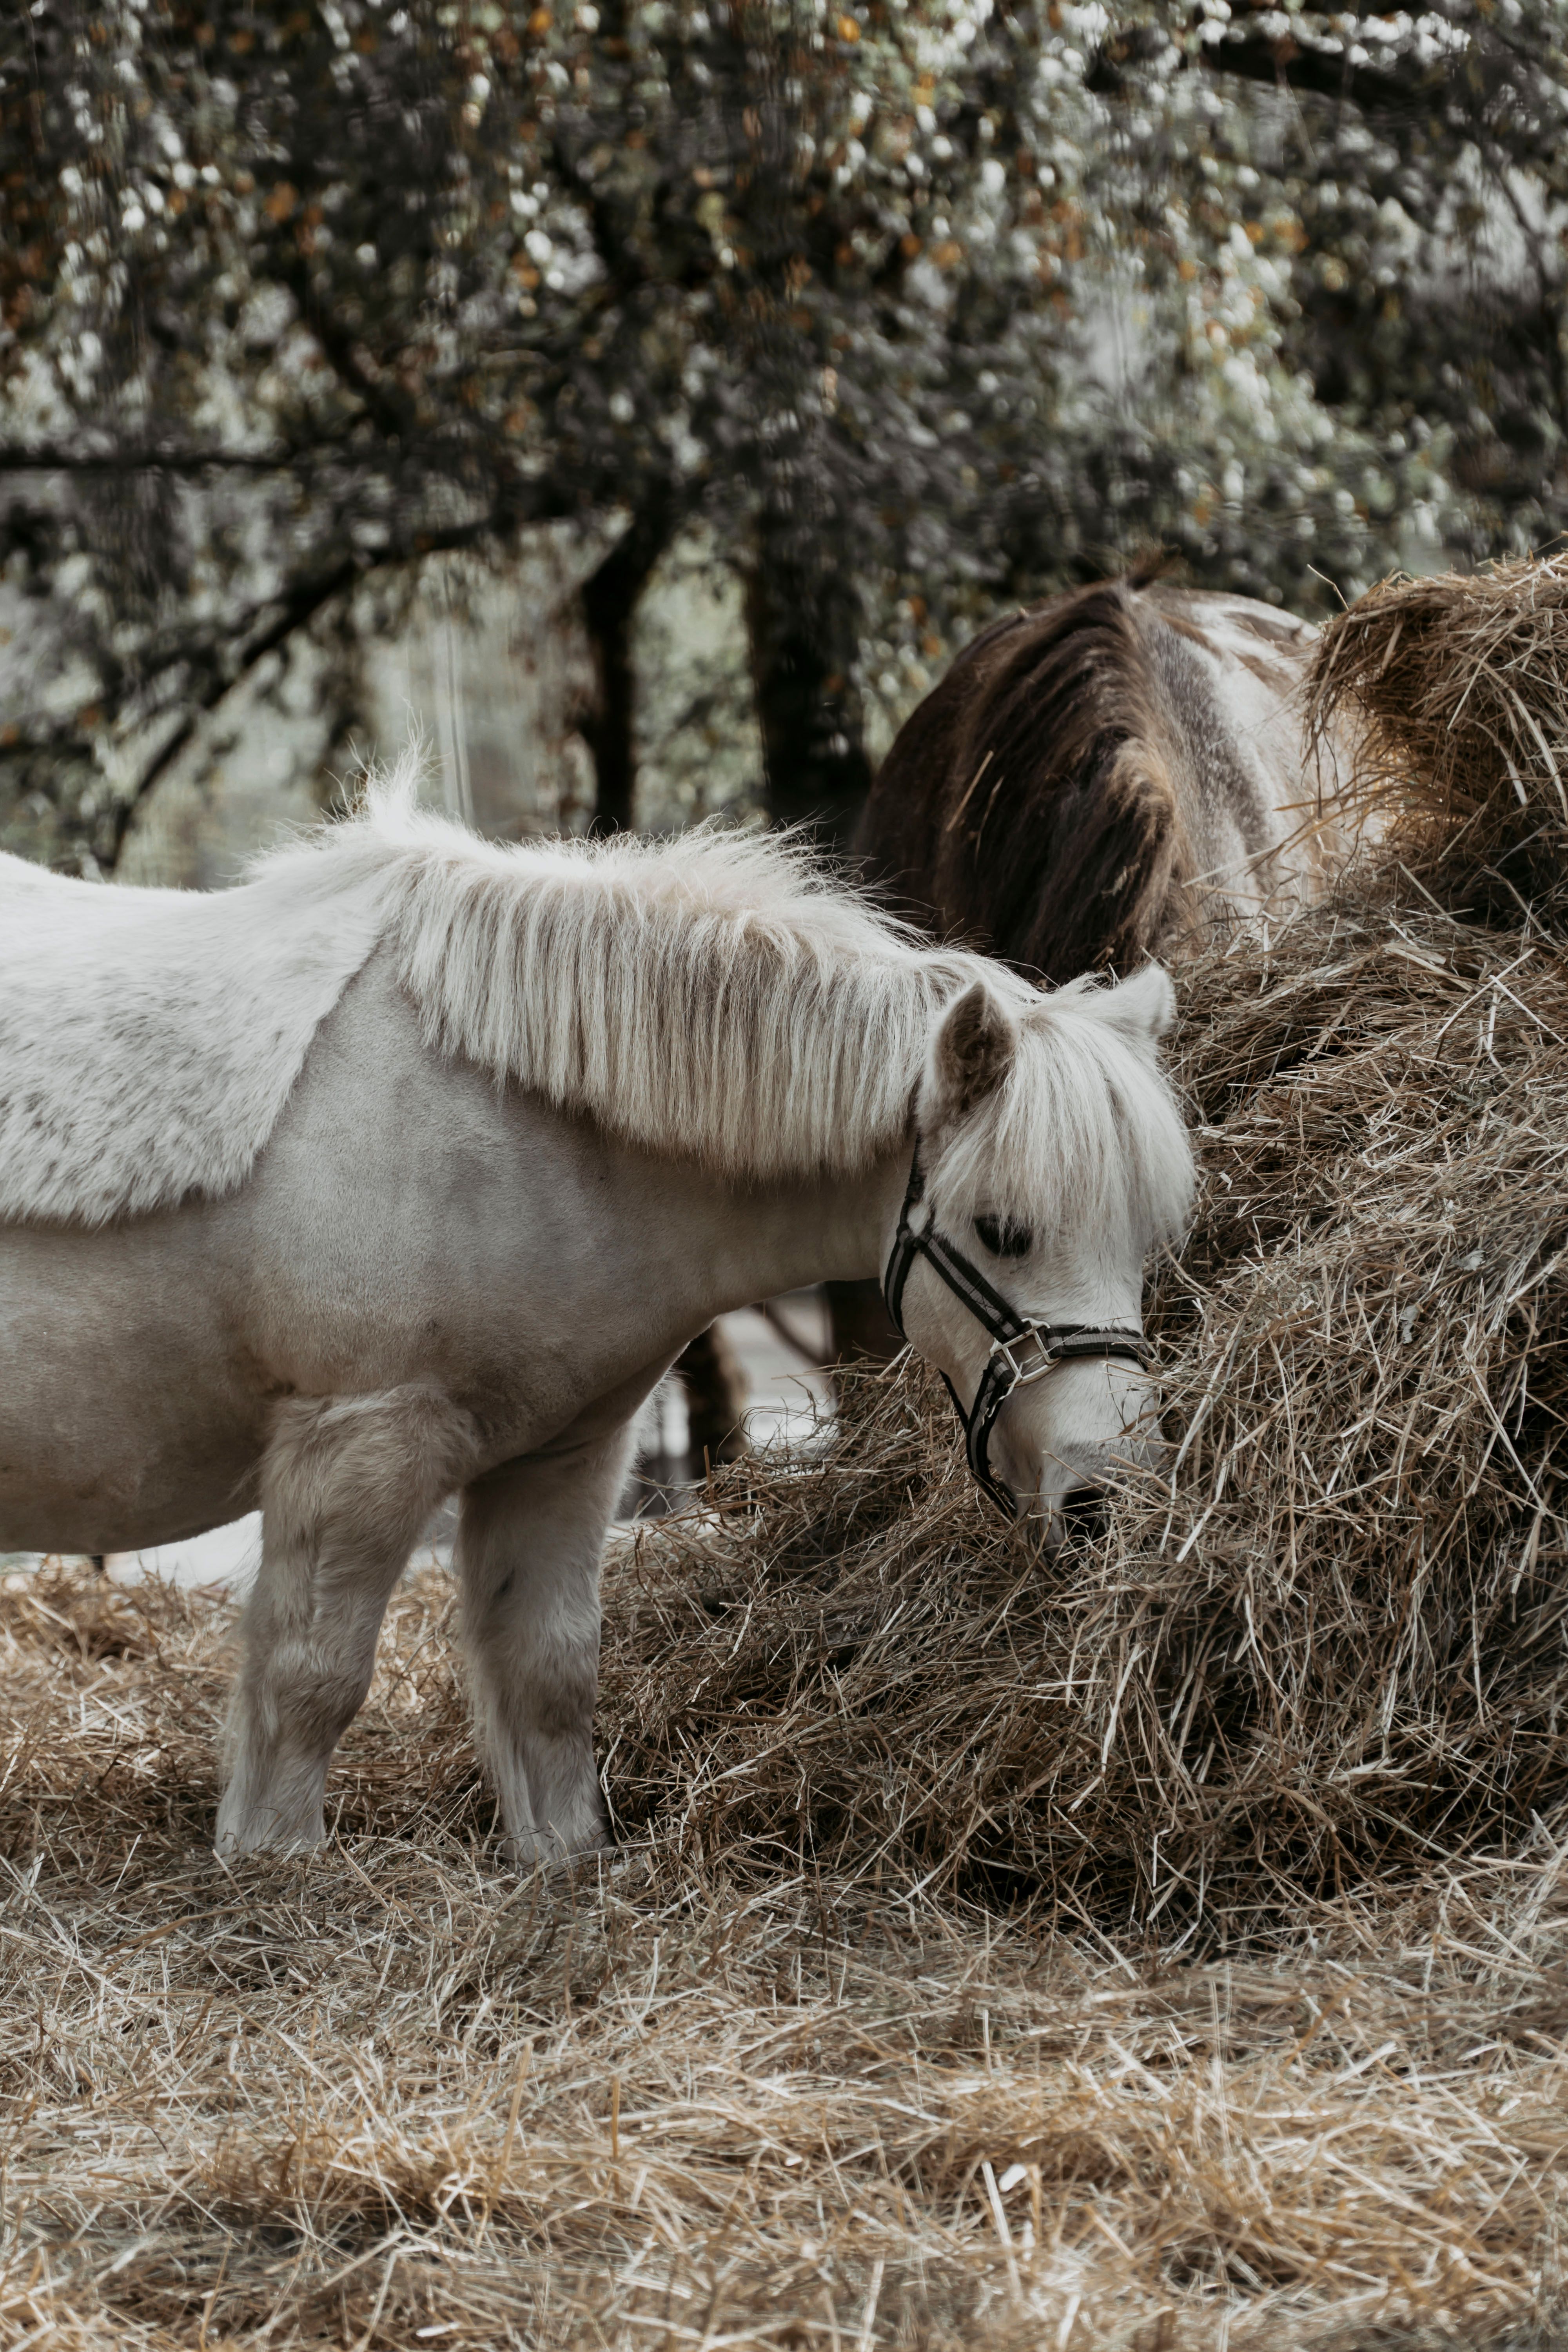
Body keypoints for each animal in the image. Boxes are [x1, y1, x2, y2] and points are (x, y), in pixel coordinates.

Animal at [0, 766, 1193, 1864]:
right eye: (1003, 1229)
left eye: (1142, 1239)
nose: (1108, 1499)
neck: (505, 1123)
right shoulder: (361, 1442)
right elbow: (312, 1678)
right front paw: (272, 1870)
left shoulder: (564, 1455)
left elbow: (552, 1671)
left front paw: (563, 1861)